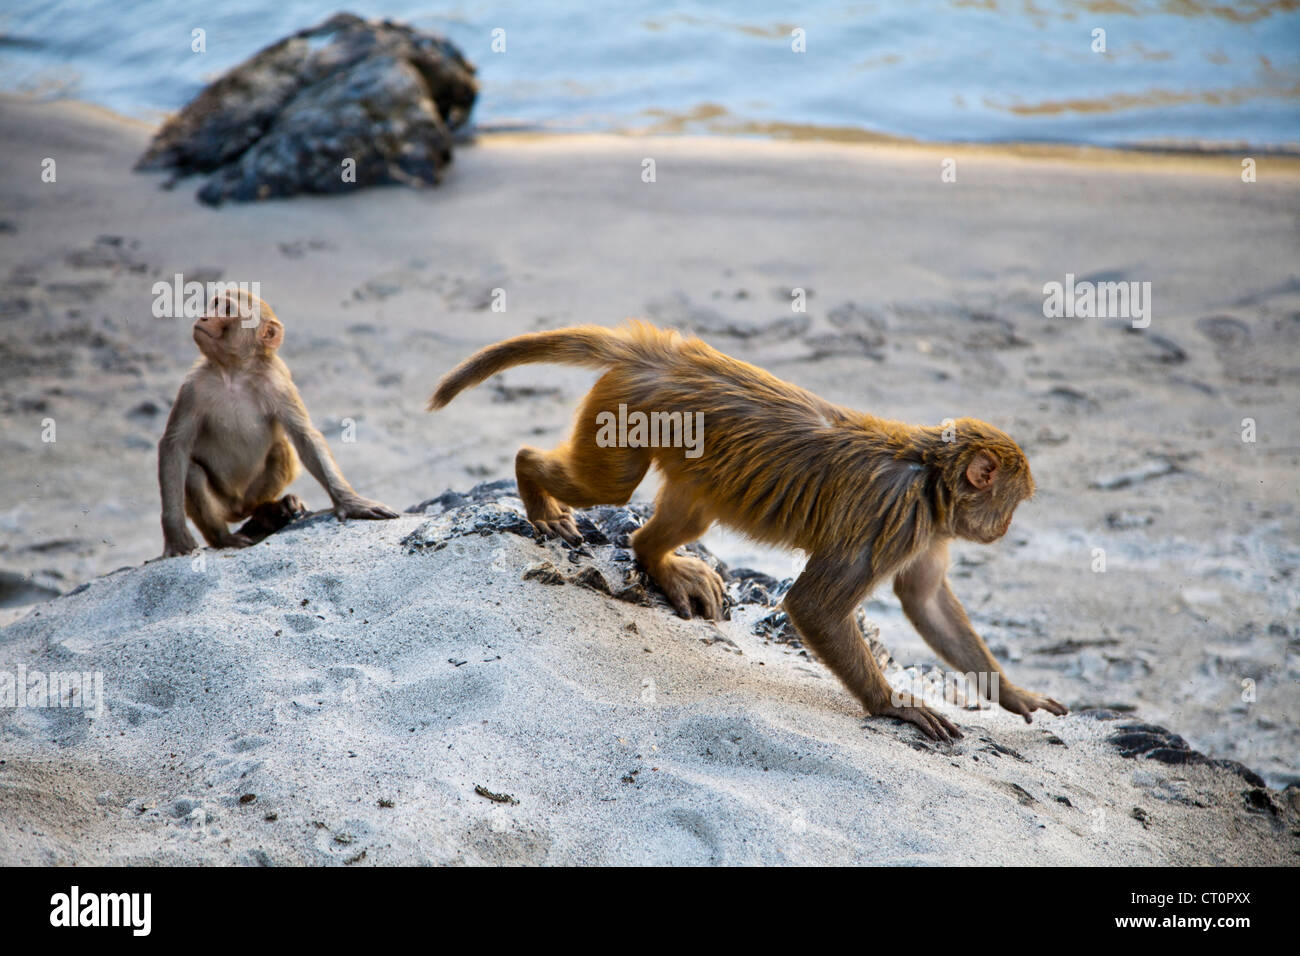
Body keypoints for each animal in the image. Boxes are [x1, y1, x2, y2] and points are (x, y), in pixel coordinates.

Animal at [158, 290, 398, 558]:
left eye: (227, 310)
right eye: (215, 304)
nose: (204, 317)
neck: (235, 372)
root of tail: (237, 508)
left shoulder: (279, 384)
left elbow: (305, 437)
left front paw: (351, 503)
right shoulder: (192, 387)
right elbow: (175, 445)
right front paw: (176, 534)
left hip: (252, 494)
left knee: (281, 450)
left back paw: (272, 510)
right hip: (222, 505)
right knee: (192, 473)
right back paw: (225, 537)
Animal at [427, 320, 1067, 742]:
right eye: (1013, 502)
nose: (1005, 527)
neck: (927, 476)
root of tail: (662, 353)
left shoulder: (929, 528)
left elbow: (925, 599)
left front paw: (1011, 693)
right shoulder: (894, 513)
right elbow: (814, 607)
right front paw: (892, 705)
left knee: (684, 514)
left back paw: (655, 558)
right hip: (624, 411)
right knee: (606, 484)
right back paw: (533, 481)